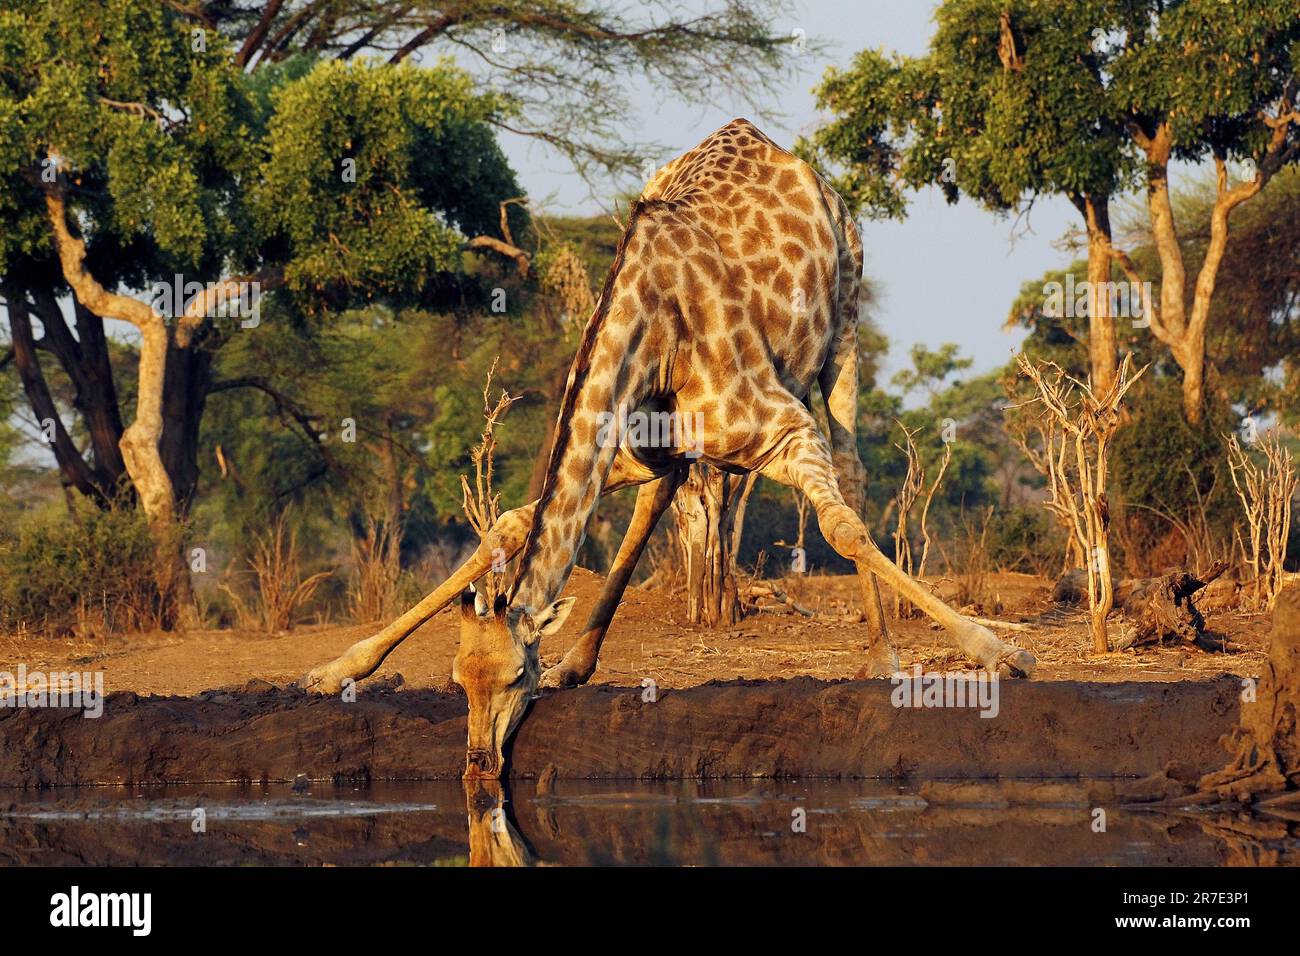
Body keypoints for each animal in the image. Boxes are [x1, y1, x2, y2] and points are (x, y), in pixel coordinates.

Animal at [302, 118, 1036, 778]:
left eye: (514, 677)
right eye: (459, 679)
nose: (479, 764)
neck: (654, 329)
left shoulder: (786, 427)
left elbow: (842, 527)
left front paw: (999, 653)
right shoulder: (631, 447)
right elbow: (507, 526)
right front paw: (335, 670)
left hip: (848, 319)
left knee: (852, 473)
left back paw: (883, 655)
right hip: (678, 443)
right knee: (659, 500)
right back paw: (578, 662)